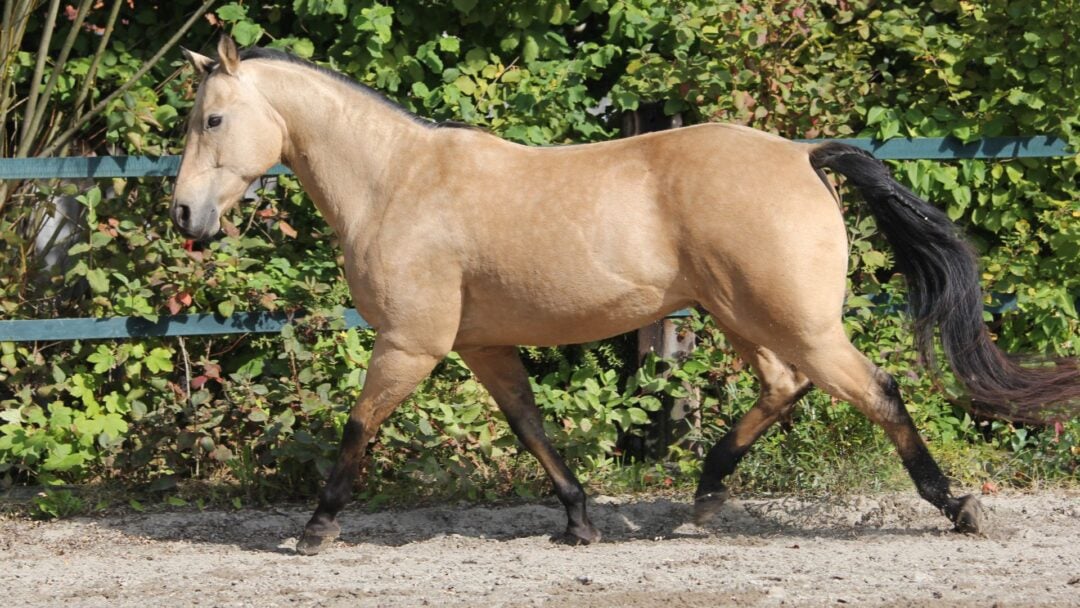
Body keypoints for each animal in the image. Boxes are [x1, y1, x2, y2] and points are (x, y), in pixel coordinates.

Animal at [173, 36, 1079, 555]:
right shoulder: (480, 345)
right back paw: (700, 503)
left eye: (211, 120)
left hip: (798, 322)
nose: (186, 215)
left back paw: (956, 507)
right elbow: (531, 426)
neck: (396, 183)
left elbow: (358, 428)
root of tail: (802, 153)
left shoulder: (410, 345)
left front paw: (314, 530)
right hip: (739, 316)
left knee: (876, 392)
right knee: (783, 387)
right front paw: (579, 522)